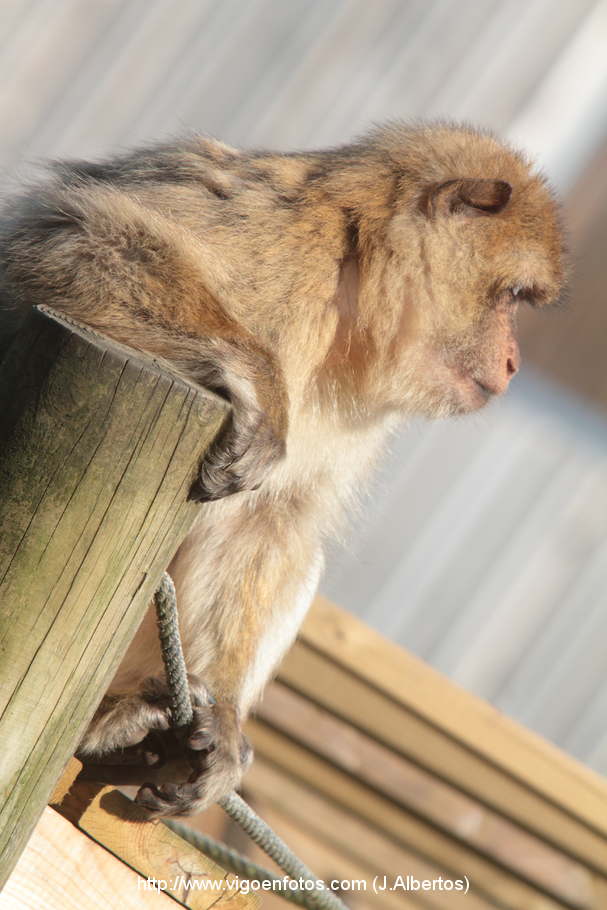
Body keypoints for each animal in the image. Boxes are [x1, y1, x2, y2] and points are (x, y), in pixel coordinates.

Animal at [0, 122, 565, 817]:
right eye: (512, 297)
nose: (513, 361)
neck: (352, 282)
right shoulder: (282, 239)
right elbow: (66, 239)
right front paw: (262, 384)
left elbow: (267, 519)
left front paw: (222, 724)